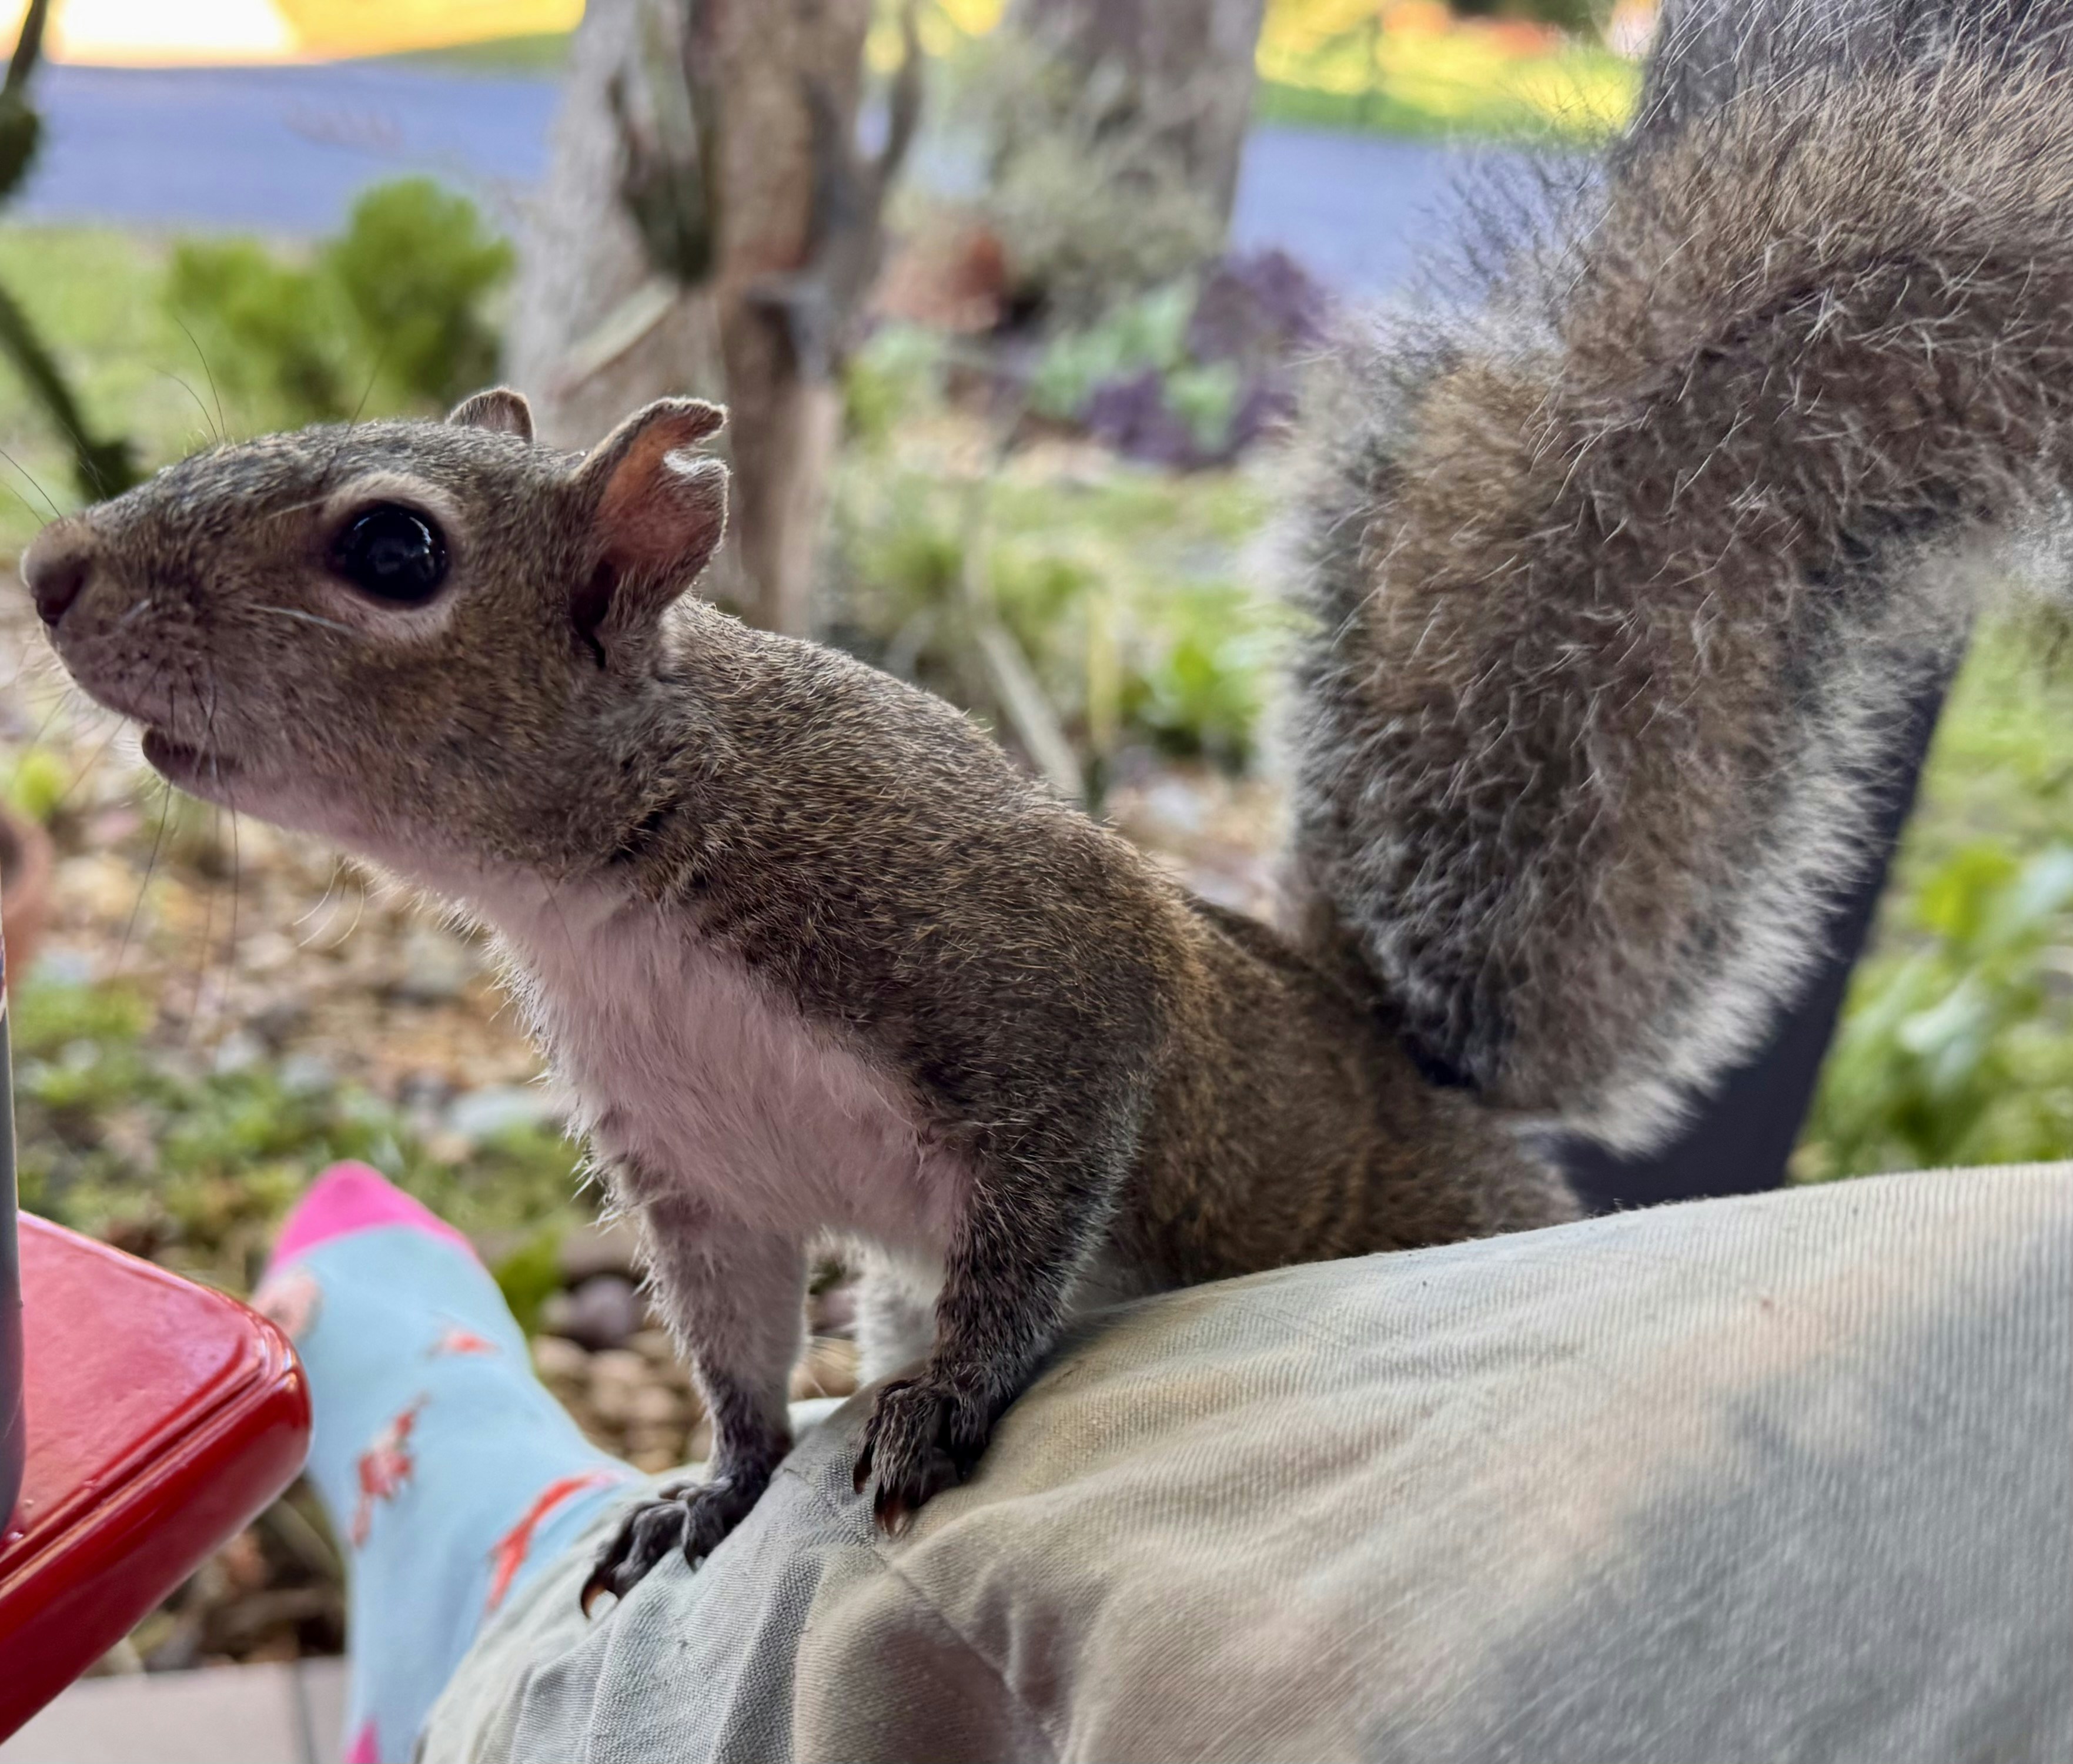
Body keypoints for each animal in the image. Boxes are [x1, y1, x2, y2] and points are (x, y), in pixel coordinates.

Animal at [20, 8, 2073, 1604]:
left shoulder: (1020, 977)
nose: (49, 568)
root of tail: (1417, 1080)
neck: (608, 879)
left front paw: (937, 1406)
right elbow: (735, 1344)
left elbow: (1035, 1212)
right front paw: (717, 1482)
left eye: (393, 551)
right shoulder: (698, 1169)